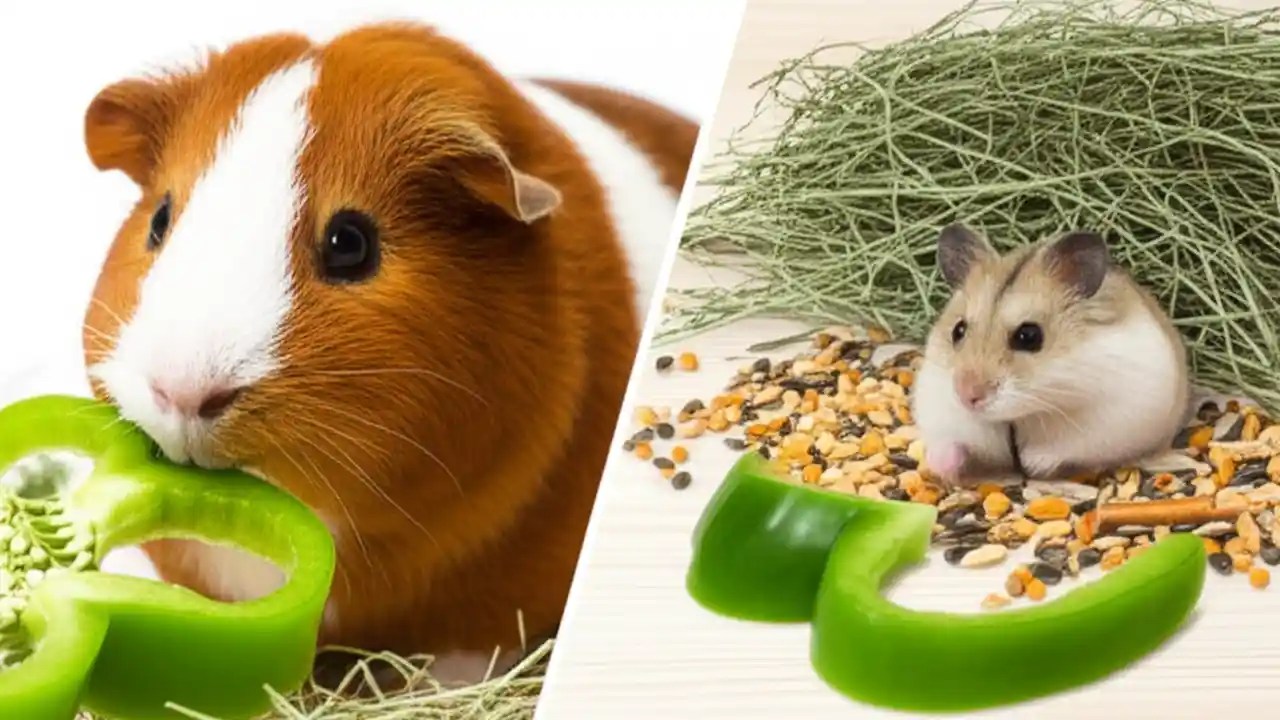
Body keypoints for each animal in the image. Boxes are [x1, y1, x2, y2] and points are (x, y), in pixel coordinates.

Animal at [911, 223, 1191, 485]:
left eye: (1029, 336)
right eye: (958, 331)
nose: (967, 396)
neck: (1026, 413)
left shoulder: (1108, 421)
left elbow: (1062, 450)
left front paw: (1033, 463)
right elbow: (953, 444)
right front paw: (938, 464)